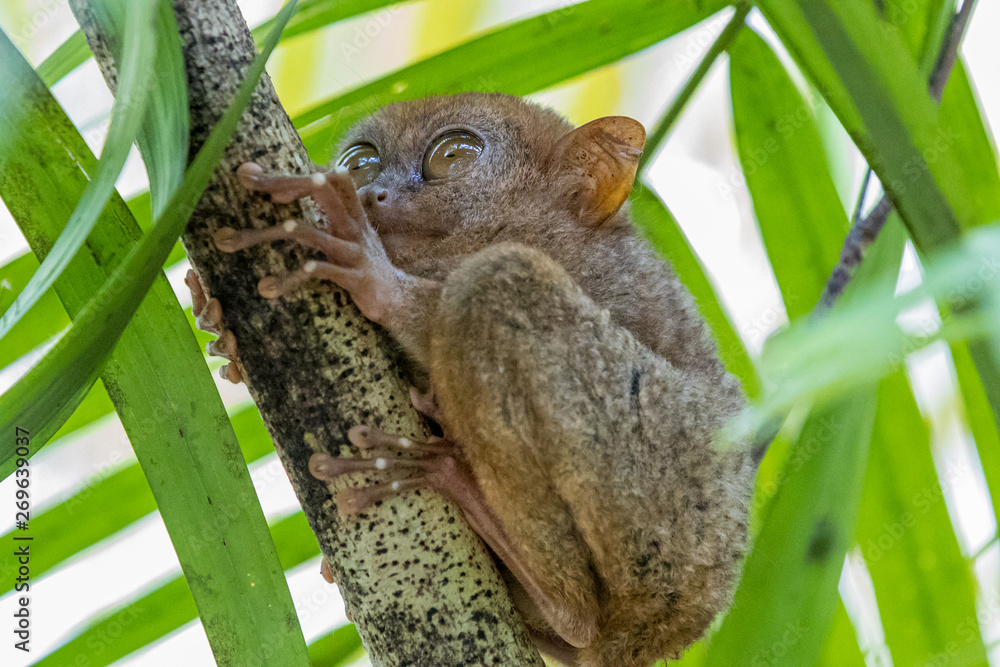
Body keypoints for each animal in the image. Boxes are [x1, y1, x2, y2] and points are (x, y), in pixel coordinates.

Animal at [187, 92, 755, 666]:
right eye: (361, 162)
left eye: (452, 157)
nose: (369, 190)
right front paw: (217, 325)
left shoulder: (590, 271)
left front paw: (370, 271)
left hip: (670, 506)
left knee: (492, 284)